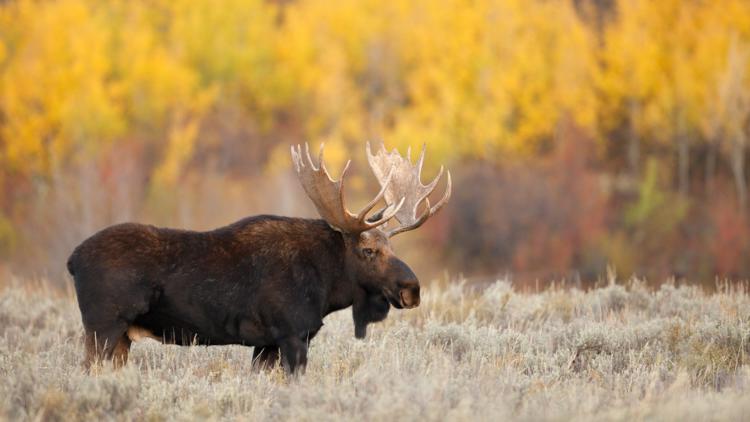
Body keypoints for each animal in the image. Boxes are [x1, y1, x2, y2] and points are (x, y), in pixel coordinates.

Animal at [66, 142, 451, 374]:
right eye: (368, 251)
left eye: (394, 248)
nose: (412, 289)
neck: (326, 286)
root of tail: (72, 260)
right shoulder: (291, 333)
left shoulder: (265, 344)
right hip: (103, 326)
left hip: (120, 337)